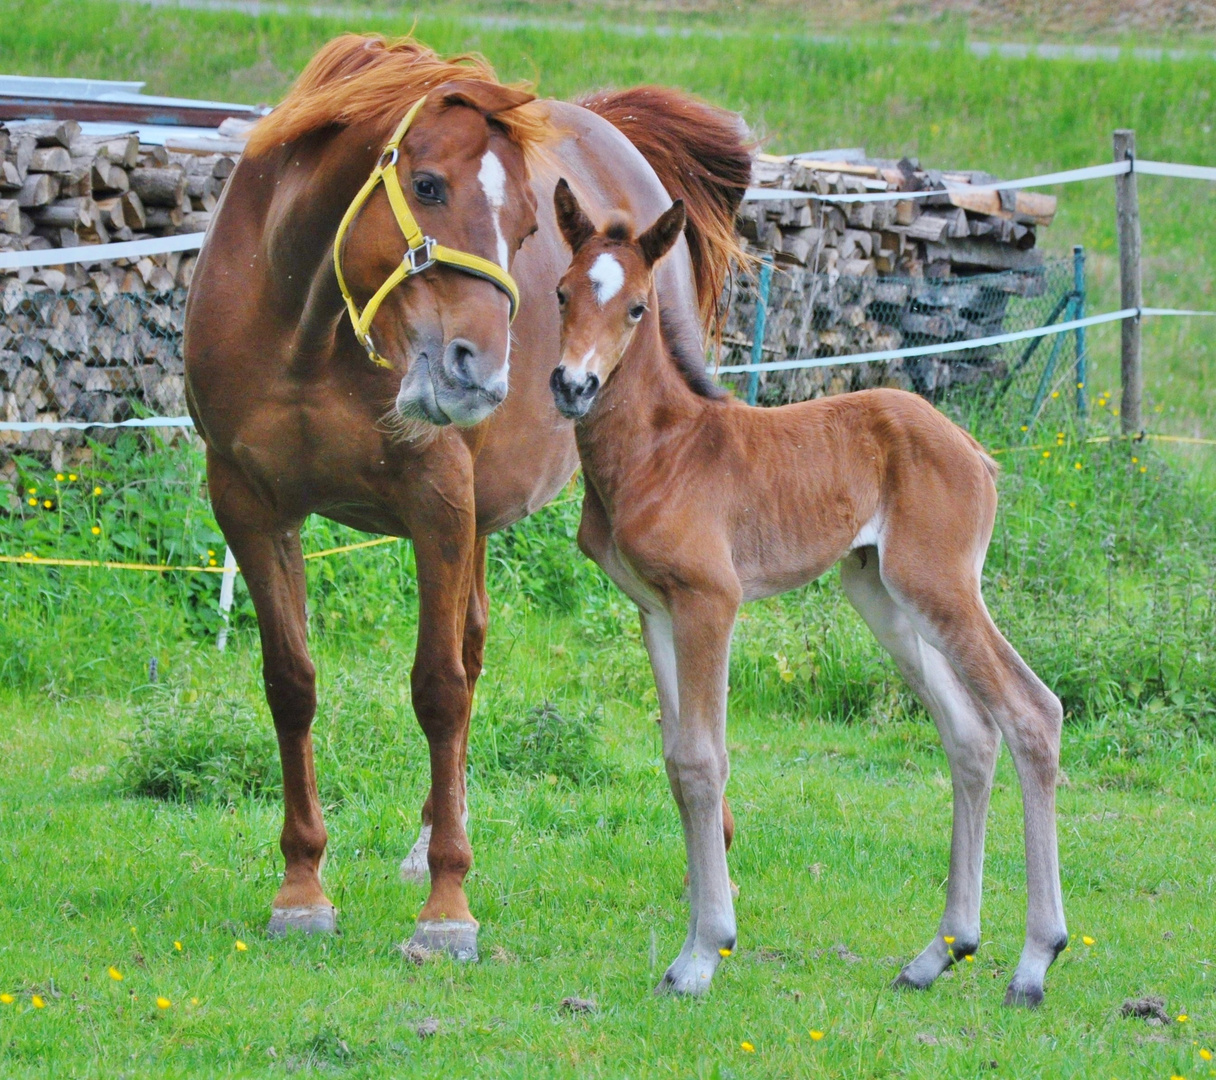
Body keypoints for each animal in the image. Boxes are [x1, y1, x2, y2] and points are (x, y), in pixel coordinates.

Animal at [182, 34, 750, 961]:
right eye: (427, 186)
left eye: (526, 226)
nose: (480, 370)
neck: (307, 327)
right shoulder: (252, 506)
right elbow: (291, 683)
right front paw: (302, 888)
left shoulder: (435, 506)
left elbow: (437, 690)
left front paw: (447, 910)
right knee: (477, 643)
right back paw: (425, 839)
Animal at [547, 180, 1068, 1006]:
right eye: (563, 292)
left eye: (634, 307)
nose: (573, 385)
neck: (660, 452)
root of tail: (975, 451)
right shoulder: (654, 610)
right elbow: (677, 763)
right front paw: (700, 940)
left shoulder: (710, 603)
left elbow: (705, 762)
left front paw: (701, 954)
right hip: (882, 595)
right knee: (969, 735)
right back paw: (940, 951)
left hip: (939, 586)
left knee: (1031, 714)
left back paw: (1034, 960)